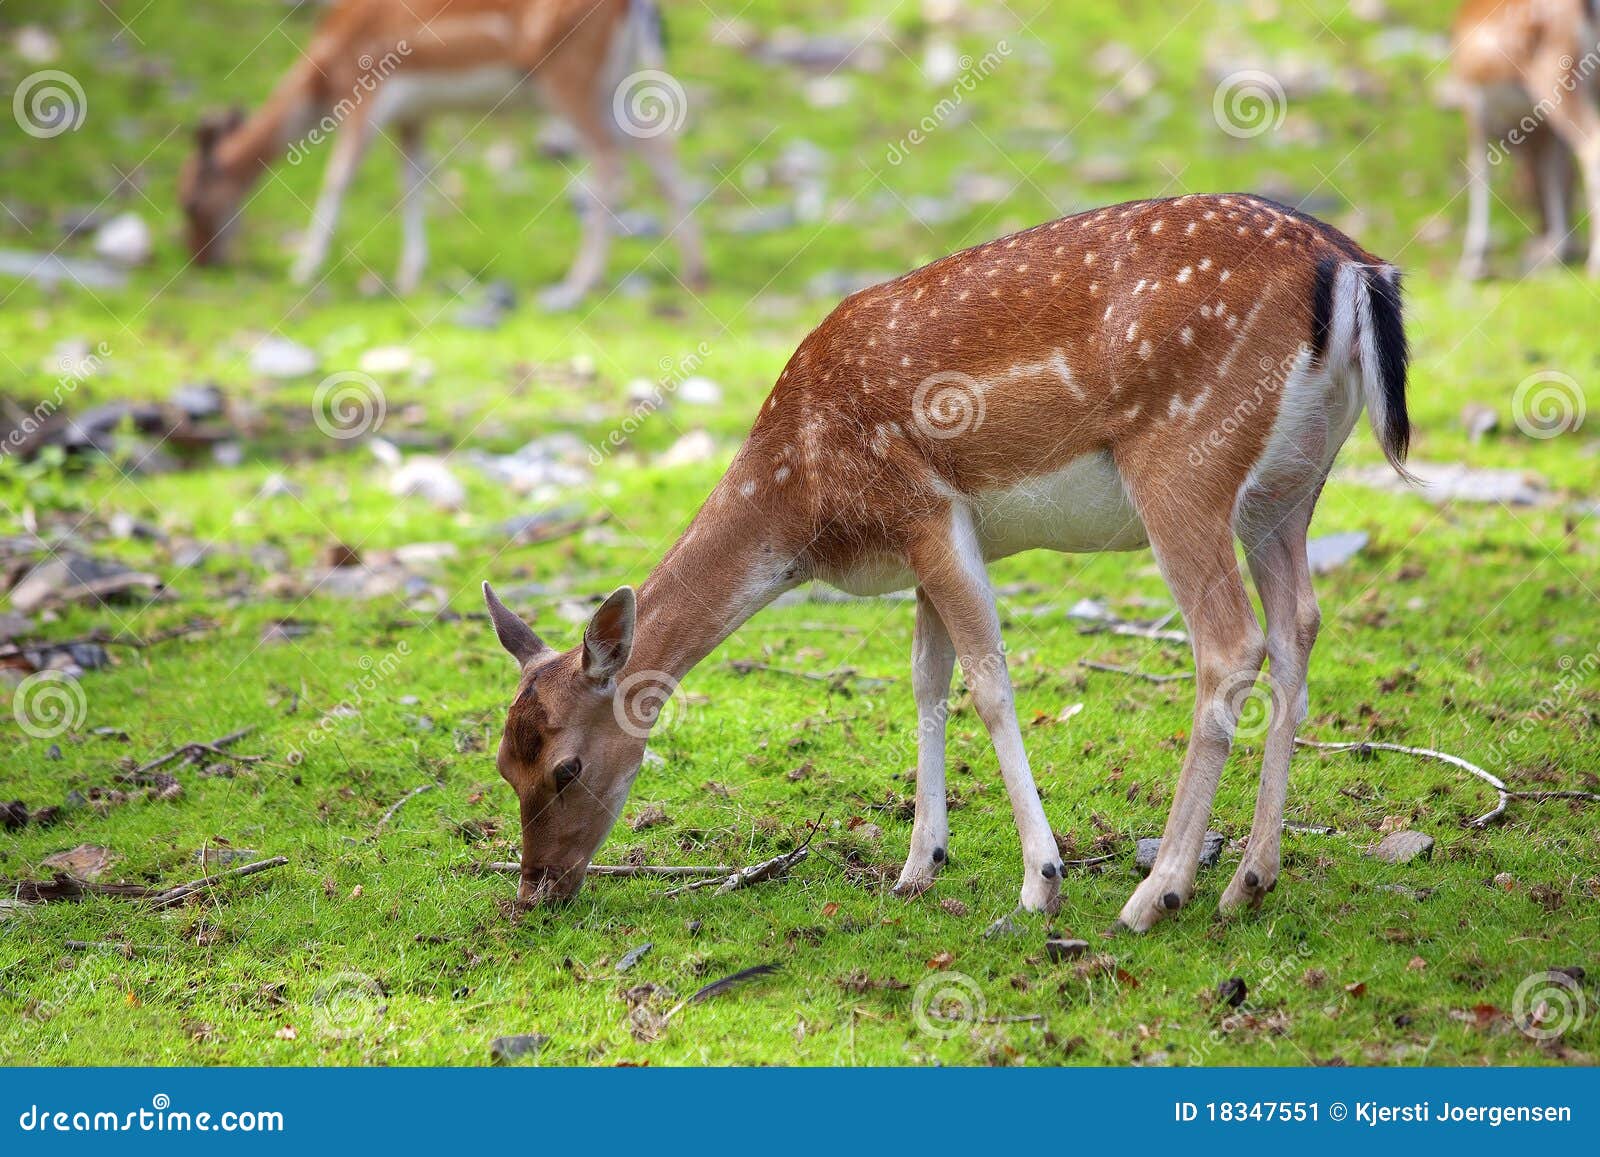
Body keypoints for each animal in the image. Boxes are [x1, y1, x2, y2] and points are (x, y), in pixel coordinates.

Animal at [178, 0, 705, 306]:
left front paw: (303, 267)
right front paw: (411, 274)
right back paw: (693, 271)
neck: (322, 71)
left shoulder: (363, 91)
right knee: (659, 148)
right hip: (614, 80)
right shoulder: (412, 115)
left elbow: (339, 177)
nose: (200, 261)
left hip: (569, 73)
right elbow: (411, 184)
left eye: (190, 201)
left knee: (608, 156)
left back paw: (580, 280)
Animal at [482, 193, 1411, 933]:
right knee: (1298, 630)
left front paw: (1041, 881)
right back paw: (1249, 879)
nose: (535, 890)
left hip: (1185, 459)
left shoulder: (924, 506)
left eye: (565, 766)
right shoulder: (925, 542)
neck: (801, 498)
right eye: (501, 764)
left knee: (1230, 644)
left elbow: (988, 681)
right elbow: (928, 681)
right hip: (1288, 491)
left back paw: (1157, 894)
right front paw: (917, 866)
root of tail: (1350, 268)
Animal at [1453, 0, 1600, 279]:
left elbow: (1479, 173)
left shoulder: (1473, 106)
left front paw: (1473, 262)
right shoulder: (1544, 130)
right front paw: (1555, 253)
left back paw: (1593, 263)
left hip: (1558, 80)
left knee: (1591, 148)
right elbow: (1556, 176)